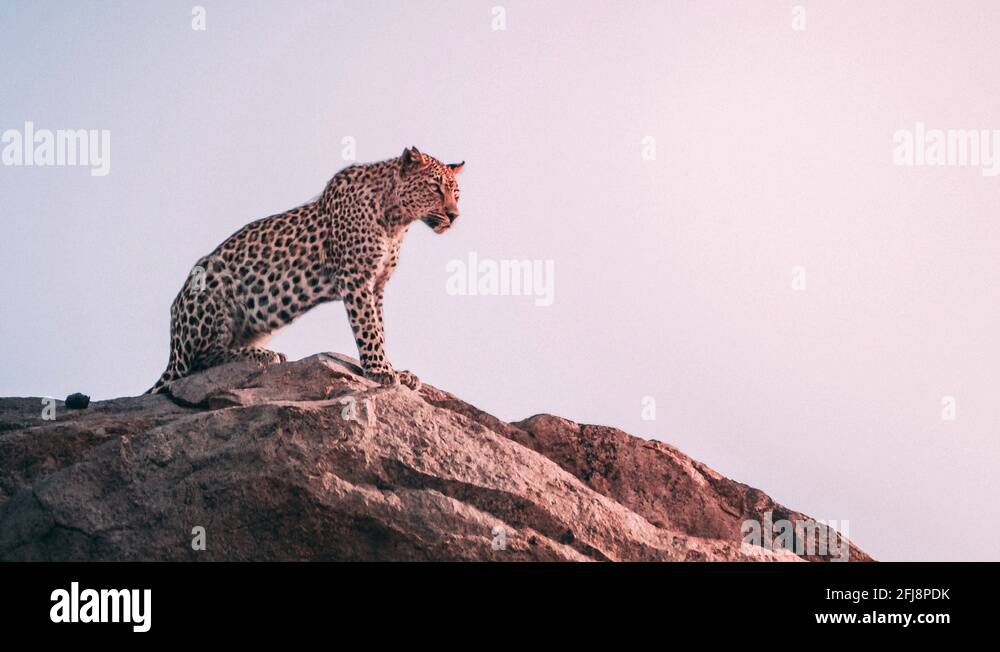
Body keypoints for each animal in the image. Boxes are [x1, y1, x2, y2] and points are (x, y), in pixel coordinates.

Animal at [146, 146, 463, 394]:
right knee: (199, 361)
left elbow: (380, 328)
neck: (396, 221)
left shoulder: (377, 285)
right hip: (210, 283)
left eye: (456, 194)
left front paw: (395, 369)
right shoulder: (356, 278)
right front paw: (380, 371)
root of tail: (173, 345)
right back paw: (262, 355)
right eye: (435, 188)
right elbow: (368, 328)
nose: (454, 216)